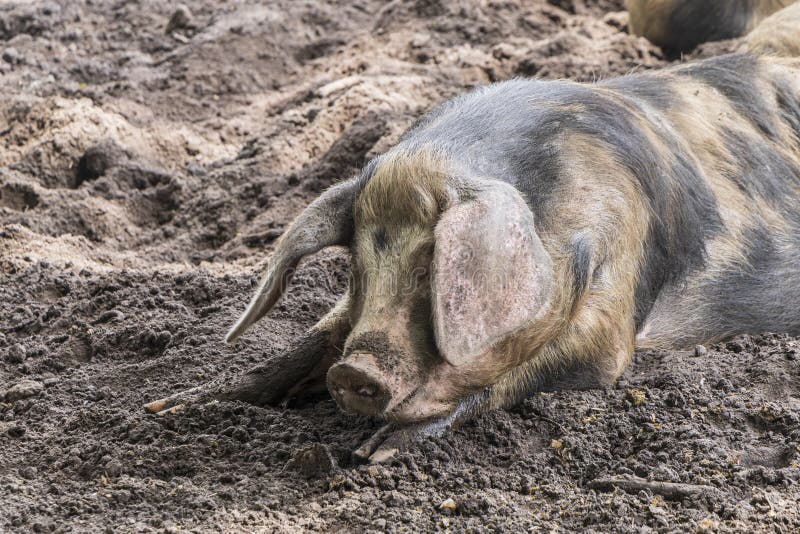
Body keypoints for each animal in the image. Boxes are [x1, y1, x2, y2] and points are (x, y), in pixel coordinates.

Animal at [146, 20, 800, 463]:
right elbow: (304, 345)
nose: (356, 370)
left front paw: (376, 452)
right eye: (358, 268)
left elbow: (528, 372)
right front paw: (169, 409)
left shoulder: (615, 313)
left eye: (433, 267)